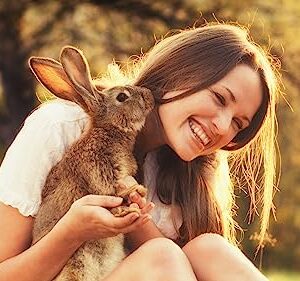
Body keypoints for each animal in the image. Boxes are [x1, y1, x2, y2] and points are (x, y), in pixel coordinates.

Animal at [28, 46, 155, 280]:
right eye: (122, 96)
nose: (149, 95)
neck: (108, 131)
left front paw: (138, 193)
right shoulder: (100, 172)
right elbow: (114, 195)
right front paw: (131, 202)